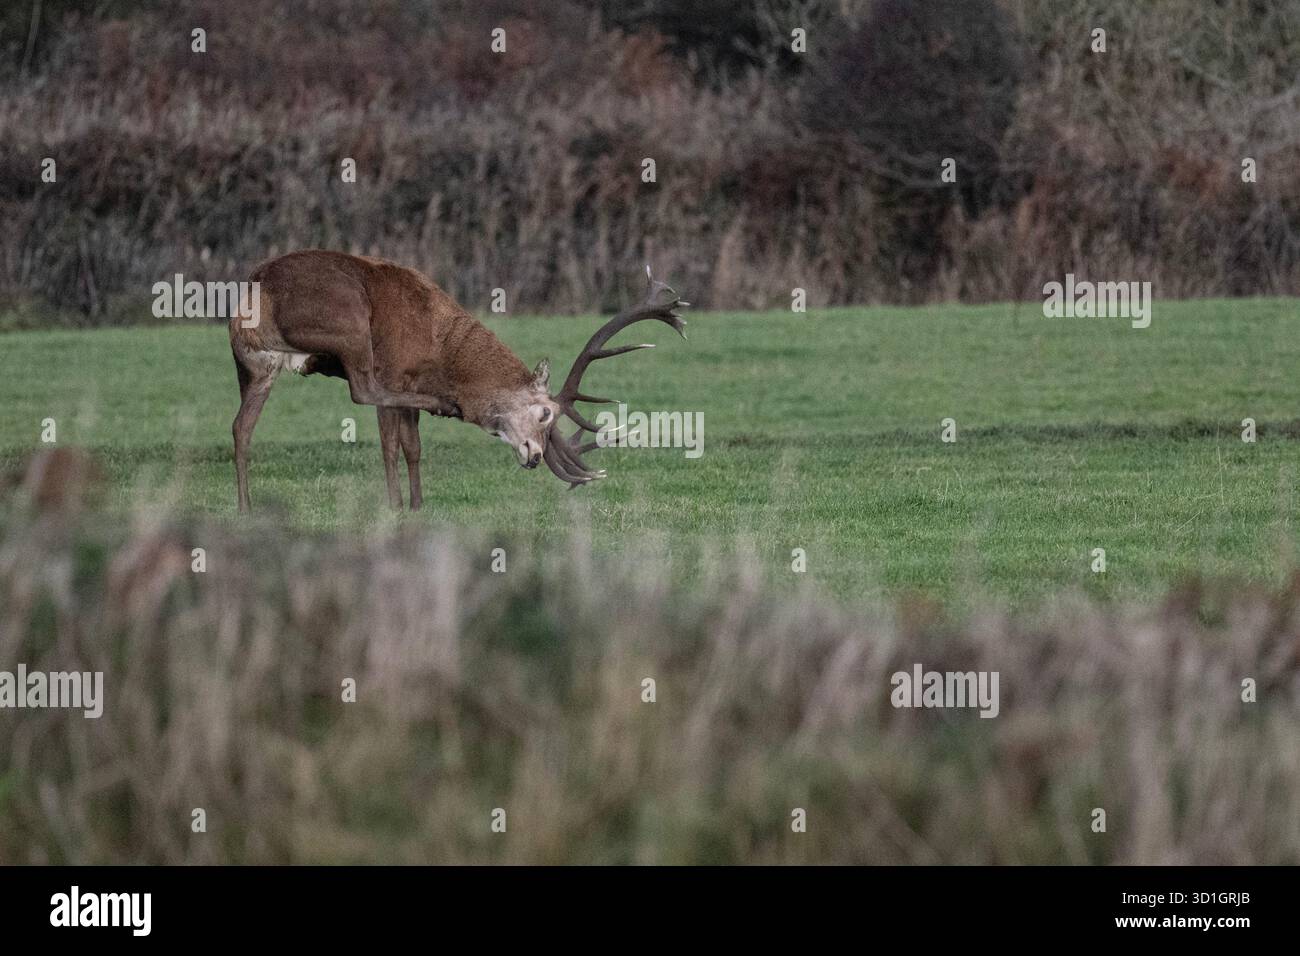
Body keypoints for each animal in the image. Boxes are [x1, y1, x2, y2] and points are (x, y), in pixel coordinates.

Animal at [228, 250, 687, 512]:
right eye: (544, 413)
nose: (536, 456)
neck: (439, 350)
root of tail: (256, 290)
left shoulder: (409, 383)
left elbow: (413, 447)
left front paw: (418, 504)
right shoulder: (393, 369)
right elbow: (390, 444)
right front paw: (396, 506)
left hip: (255, 364)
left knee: (241, 427)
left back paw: (246, 507)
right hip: (350, 322)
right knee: (361, 389)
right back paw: (444, 405)